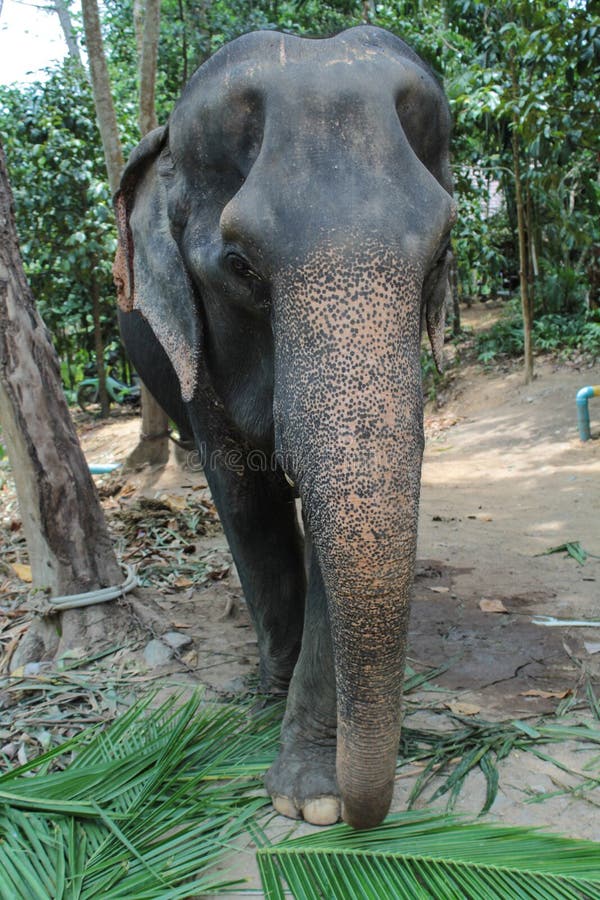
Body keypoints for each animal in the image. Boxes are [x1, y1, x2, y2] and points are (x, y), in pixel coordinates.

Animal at [113, 25, 455, 830]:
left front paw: (312, 797)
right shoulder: (197, 358)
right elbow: (247, 503)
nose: (366, 817)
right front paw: (269, 704)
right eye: (240, 266)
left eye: (442, 255)